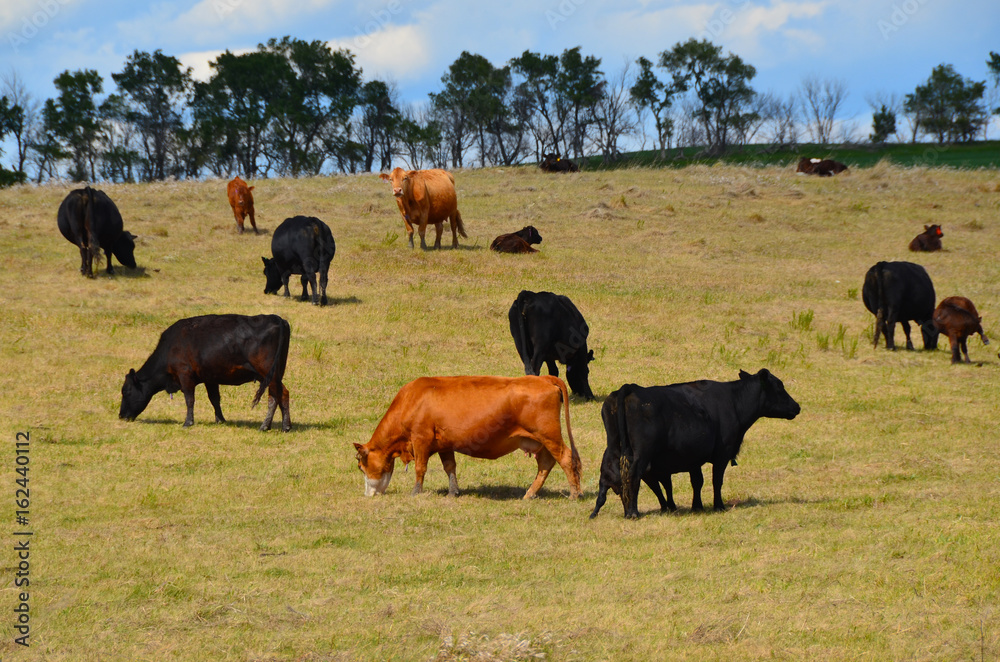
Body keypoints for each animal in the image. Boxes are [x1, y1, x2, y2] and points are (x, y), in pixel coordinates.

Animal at [119, 314, 291, 431]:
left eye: (126, 391)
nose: (121, 416)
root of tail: (276, 318)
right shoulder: (210, 378)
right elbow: (214, 399)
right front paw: (220, 419)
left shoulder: (184, 374)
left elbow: (190, 399)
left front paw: (188, 422)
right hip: (272, 374)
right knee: (278, 395)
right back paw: (280, 426)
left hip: (268, 372)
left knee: (279, 394)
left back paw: (270, 426)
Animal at [353, 375, 583, 499]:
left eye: (361, 466)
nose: (368, 494)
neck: (412, 400)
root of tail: (543, 378)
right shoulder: (445, 443)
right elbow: (449, 467)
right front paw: (453, 491)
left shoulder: (421, 439)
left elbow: (420, 468)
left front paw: (416, 492)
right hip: (540, 440)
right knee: (545, 463)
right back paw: (530, 493)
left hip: (549, 435)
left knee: (565, 458)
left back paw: (574, 494)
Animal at [590, 369, 801, 520]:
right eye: (780, 387)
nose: (797, 406)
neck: (734, 402)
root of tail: (631, 388)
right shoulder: (722, 453)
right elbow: (716, 480)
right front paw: (718, 506)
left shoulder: (693, 456)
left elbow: (697, 481)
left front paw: (697, 507)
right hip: (642, 454)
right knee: (633, 475)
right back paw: (633, 512)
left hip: (615, 447)